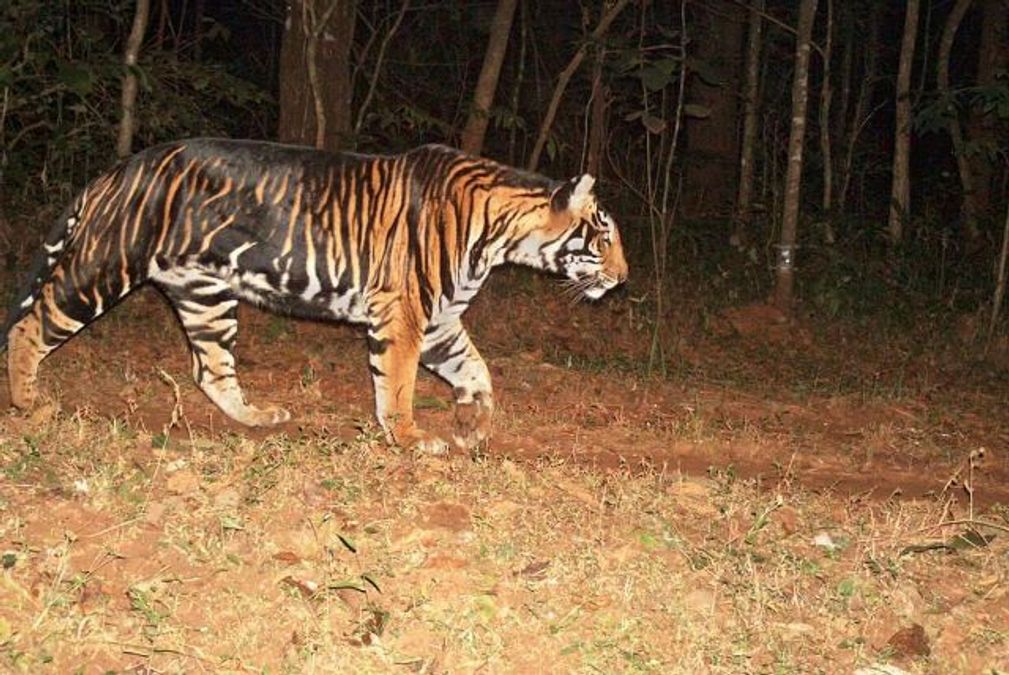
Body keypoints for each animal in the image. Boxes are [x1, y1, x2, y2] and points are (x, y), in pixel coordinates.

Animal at [1, 139, 628, 452]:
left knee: (211, 370)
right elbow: (397, 388)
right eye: (604, 236)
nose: (623, 279)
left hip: (205, 296)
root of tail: (121, 167)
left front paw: (473, 423)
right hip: (104, 268)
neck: (499, 235)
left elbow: (476, 370)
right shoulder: (404, 315)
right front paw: (411, 439)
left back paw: (258, 418)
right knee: (30, 325)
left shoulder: (441, 322)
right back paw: (30, 403)